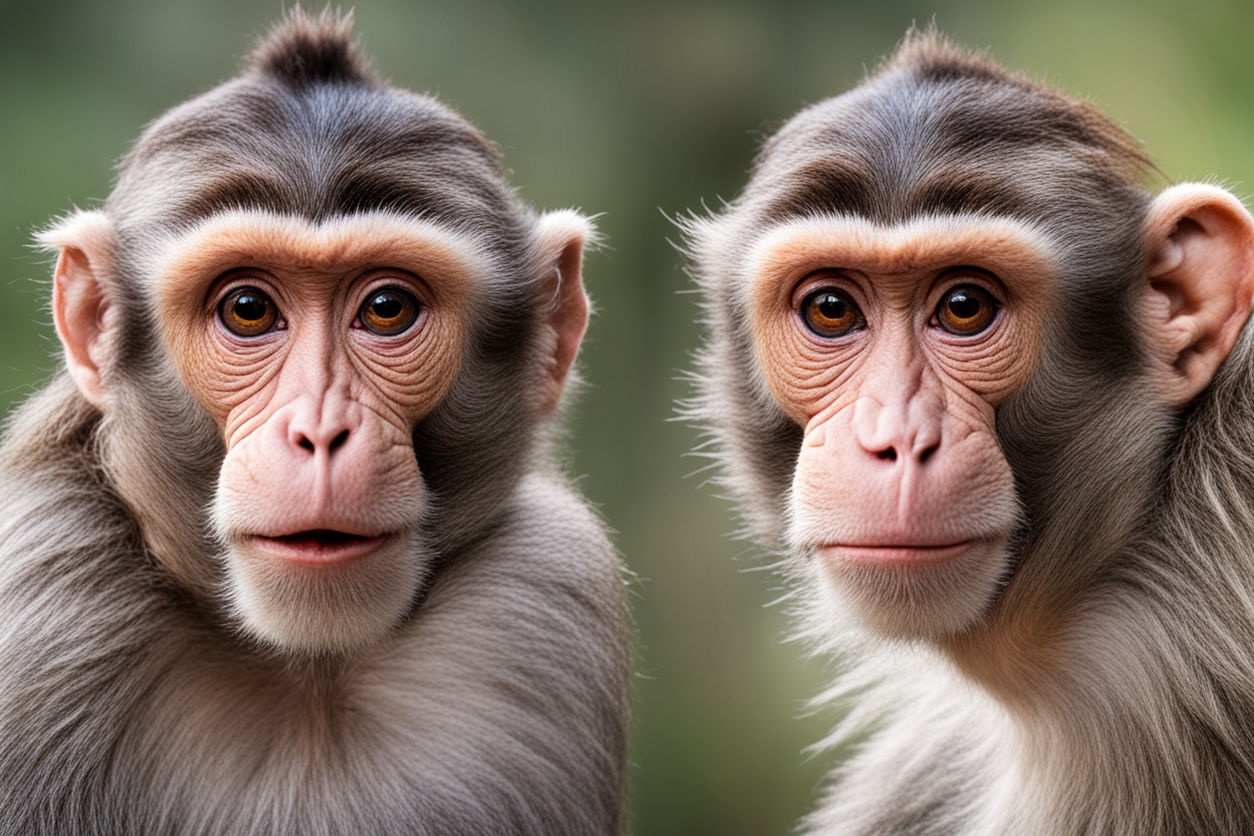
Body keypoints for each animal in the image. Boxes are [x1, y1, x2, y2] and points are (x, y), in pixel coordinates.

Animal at [0, 10, 629, 835]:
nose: (321, 433)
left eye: (387, 308)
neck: (308, 667)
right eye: (247, 308)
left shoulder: (549, 591)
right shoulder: (39, 593)